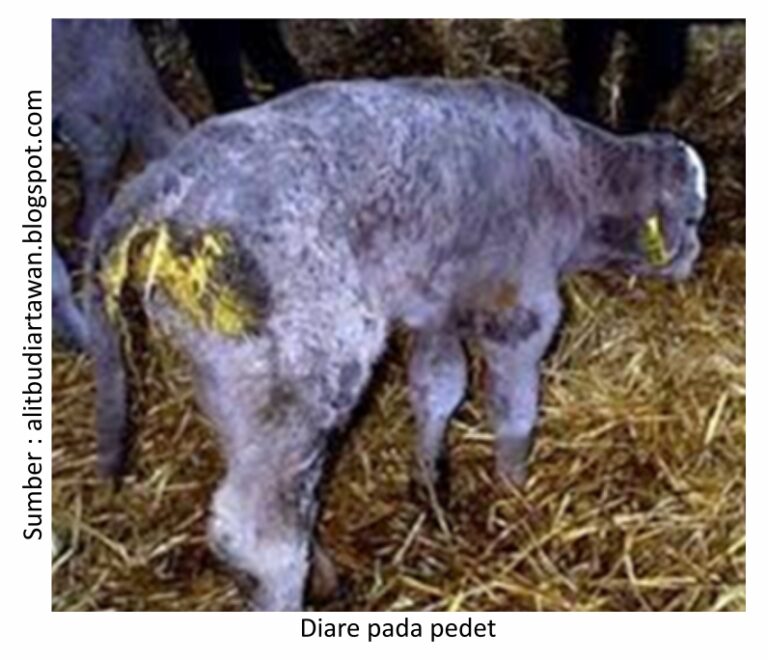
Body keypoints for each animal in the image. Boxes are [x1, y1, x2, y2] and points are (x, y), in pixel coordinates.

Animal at [85, 77, 707, 610]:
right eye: (694, 217)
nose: (696, 255)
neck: (570, 173)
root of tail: (164, 183)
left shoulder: (437, 306)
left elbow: (438, 389)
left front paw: (429, 481)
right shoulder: (521, 311)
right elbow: (514, 414)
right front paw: (514, 495)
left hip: (235, 381)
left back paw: (320, 568)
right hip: (305, 372)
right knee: (258, 536)